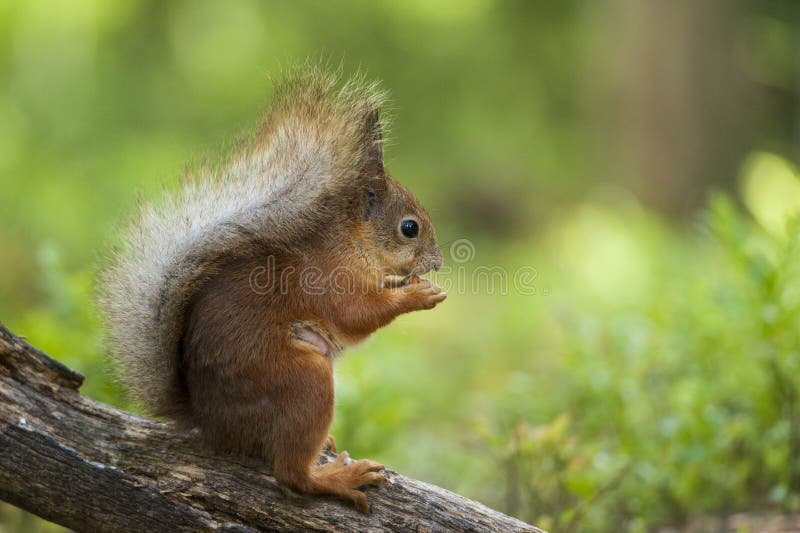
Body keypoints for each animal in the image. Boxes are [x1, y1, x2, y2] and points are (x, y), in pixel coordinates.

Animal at [99, 66, 446, 513]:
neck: (352, 242)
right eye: (409, 228)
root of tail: (212, 425)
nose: (437, 262)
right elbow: (357, 315)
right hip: (302, 382)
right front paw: (419, 295)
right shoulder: (327, 278)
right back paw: (338, 478)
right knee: (291, 476)